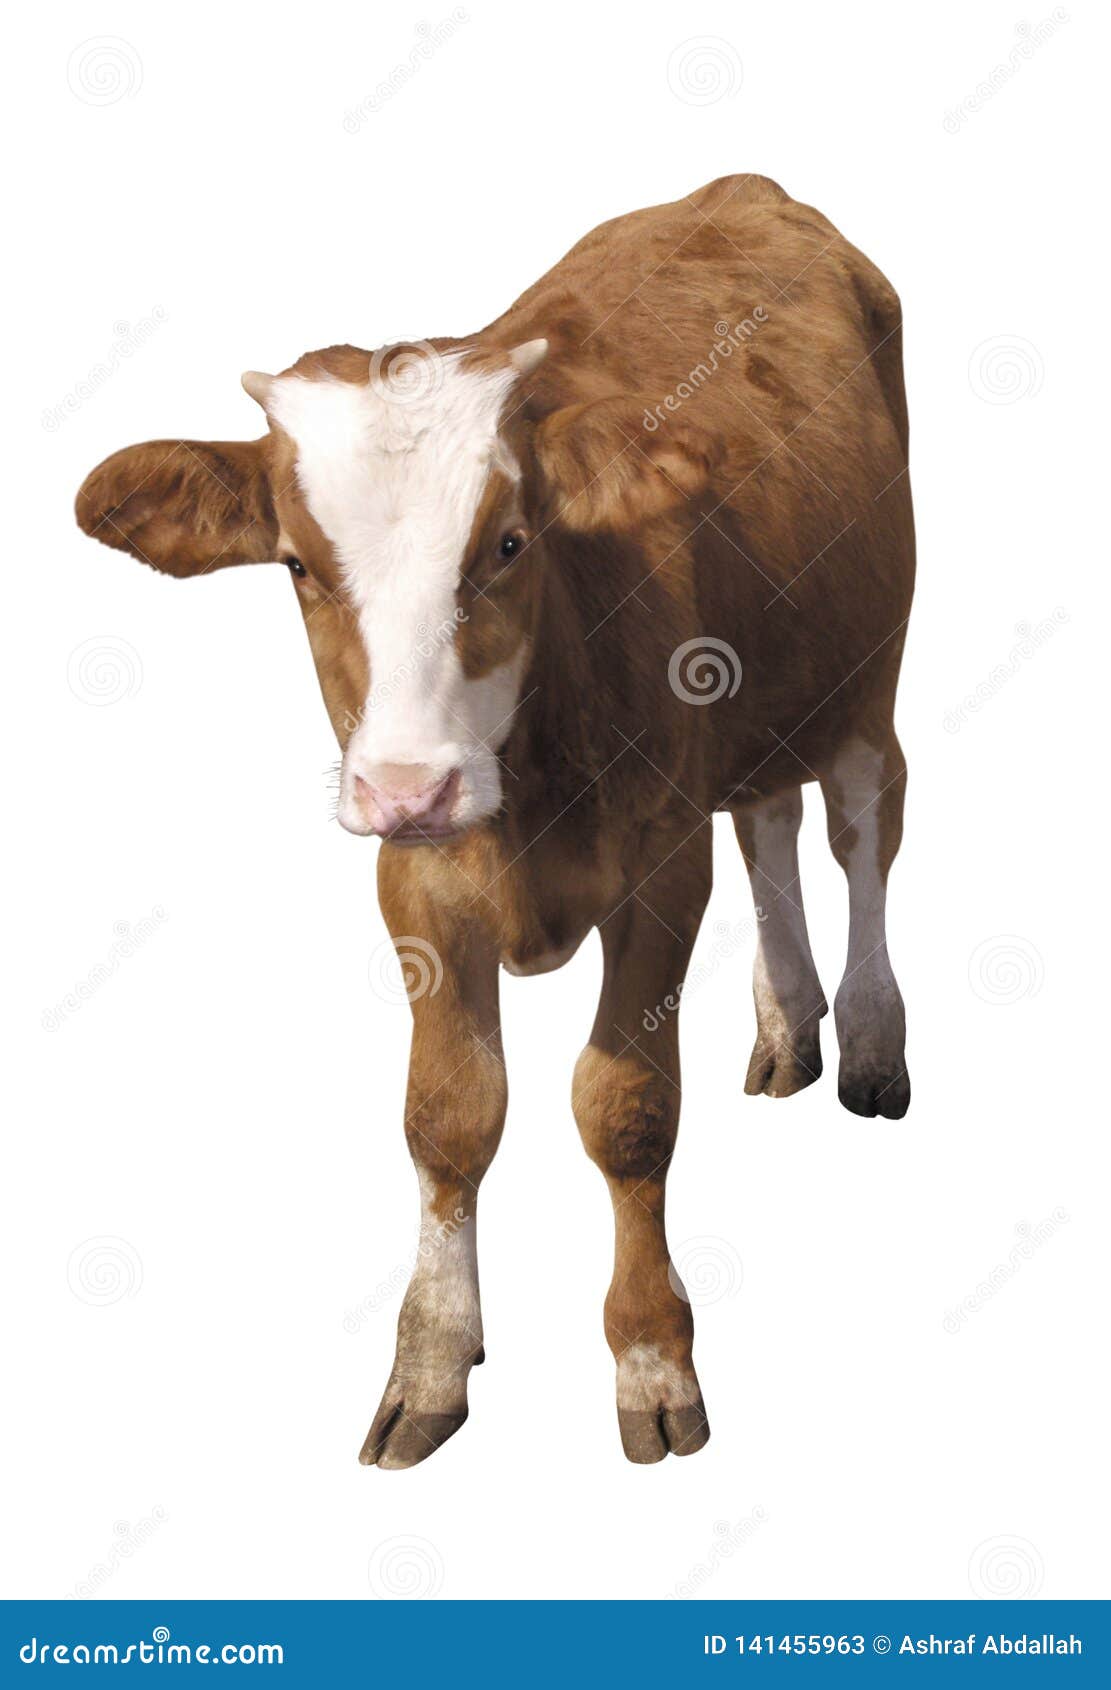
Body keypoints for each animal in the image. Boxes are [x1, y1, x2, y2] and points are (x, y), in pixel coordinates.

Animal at [75, 174, 914, 1468]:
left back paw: (869, 1040)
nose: (407, 786)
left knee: (860, 828)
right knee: (769, 818)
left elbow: (625, 1109)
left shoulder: (660, 868)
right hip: (758, 695)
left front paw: (650, 1359)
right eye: (297, 565)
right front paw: (429, 1358)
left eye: (510, 542)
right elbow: (447, 1117)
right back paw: (787, 1024)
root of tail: (746, 190)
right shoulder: (418, 885)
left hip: (867, 670)